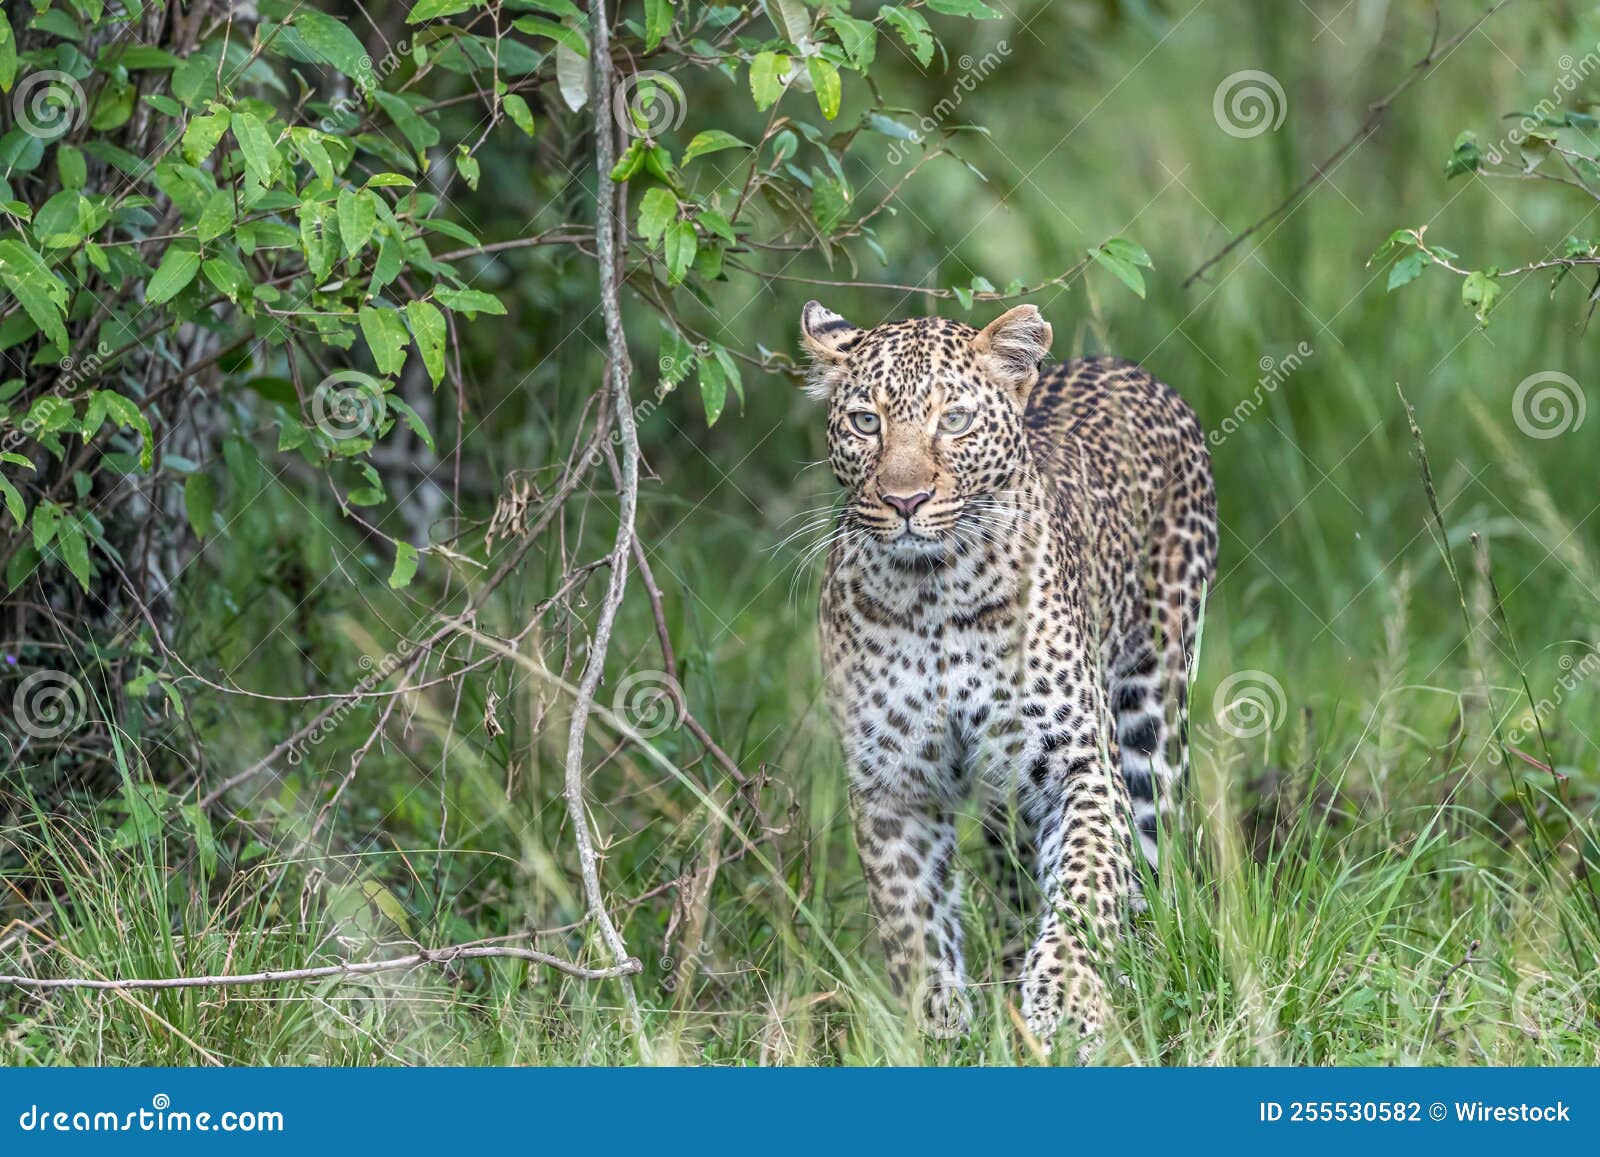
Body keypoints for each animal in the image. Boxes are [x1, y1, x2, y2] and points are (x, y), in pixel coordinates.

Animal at [801, 299, 1216, 1054]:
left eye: (955, 419)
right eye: (866, 422)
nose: (906, 500)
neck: (932, 592)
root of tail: (1117, 363)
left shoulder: (1079, 761)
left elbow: (1085, 886)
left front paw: (1065, 1003)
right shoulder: (893, 782)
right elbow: (913, 921)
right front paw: (939, 1033)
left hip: (1156, 709)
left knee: (1148, 860)